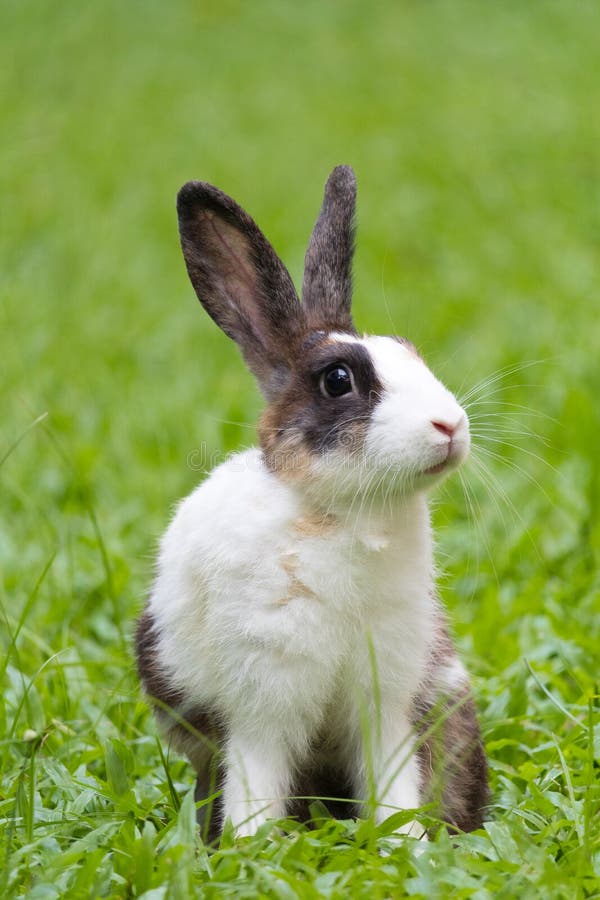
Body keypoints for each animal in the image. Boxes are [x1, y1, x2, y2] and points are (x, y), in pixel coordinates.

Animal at [135, 165, 489, 841]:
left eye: (412, 352)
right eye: (338, 380)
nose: (450, 425)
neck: (345, 517)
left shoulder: (390, 699)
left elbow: (392, 783)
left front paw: (406, 845)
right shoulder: (262, 702)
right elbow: (257, 780)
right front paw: (249, 849)